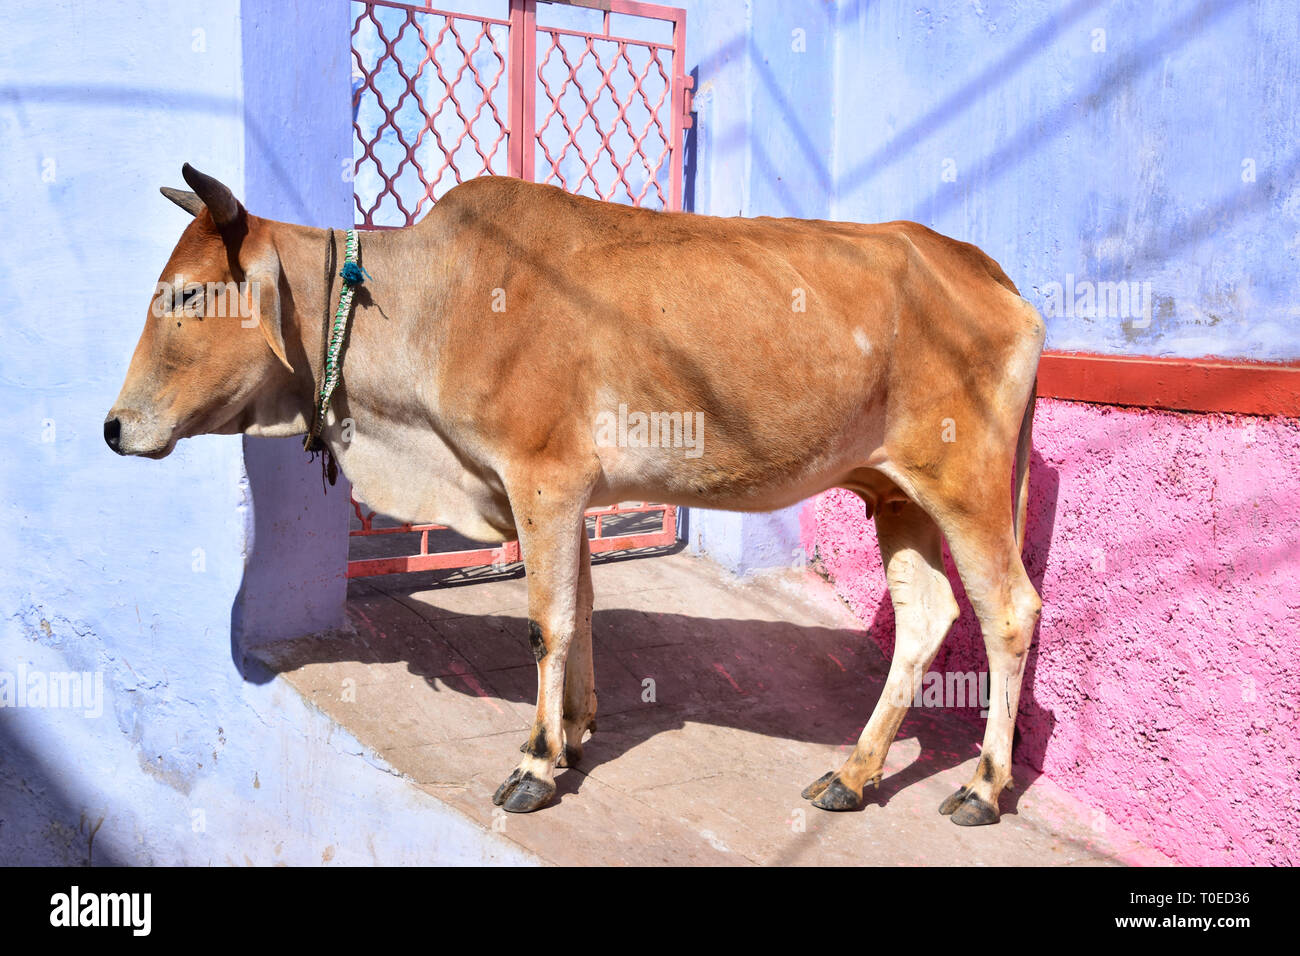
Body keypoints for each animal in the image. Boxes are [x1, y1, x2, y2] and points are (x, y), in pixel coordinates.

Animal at [107, 164, 1045, 824]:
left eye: (188, 292)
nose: (115, 428)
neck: (435, 302)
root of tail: (989, 273)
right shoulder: (569, 494)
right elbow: (584, 606)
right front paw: (574, 736)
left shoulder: (544, 481)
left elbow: (547, 621)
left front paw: (532, 763)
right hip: (898, 494)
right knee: (926, 619)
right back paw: (853, 774)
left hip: (964, 485)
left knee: (1009, 612)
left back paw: (983, 788)